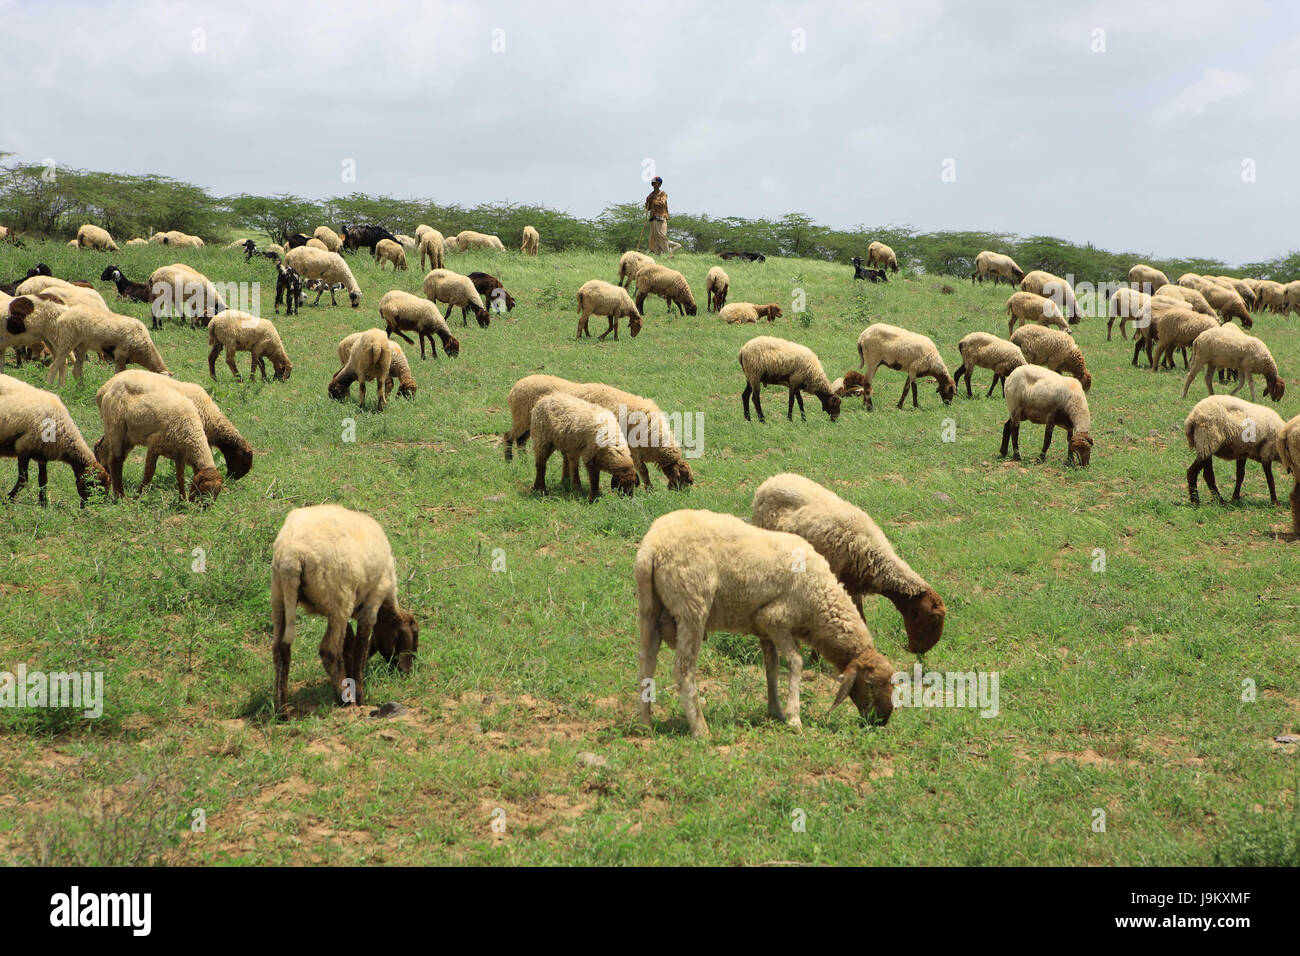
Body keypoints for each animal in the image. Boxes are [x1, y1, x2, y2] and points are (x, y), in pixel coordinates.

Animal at [0, 374, 107, 507]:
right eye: (94, 486)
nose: (88, 509)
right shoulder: (23, 448)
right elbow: (23, 480)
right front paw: (7, 499)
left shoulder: (42, 455)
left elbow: (43, 480)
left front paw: (43, 503)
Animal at [94, 373, 222, 501]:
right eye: (204, 492)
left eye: (215, 494)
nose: (204, 506)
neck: (190, 431)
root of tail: (106, 389)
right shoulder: (154, 445)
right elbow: (149, 473)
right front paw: (138, 496)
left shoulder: (179, 453)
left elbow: (180, 476)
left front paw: (182, 499)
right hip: (116, 428)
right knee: (116, 461)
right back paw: (120, 496)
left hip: (127, 436)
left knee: (103, 450)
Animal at [270, 505, 419, 715]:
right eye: (414, 635)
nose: (406, 671)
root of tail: (292, 557)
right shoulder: (373, 599)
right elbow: (360, 649)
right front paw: (360, 696)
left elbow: (349, 644)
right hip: (340, 598)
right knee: (329, 651)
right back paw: (346, 700)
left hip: (280, 598)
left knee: (280, 651)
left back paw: (282, 710)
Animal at [634, 509, 896, 736]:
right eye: (870, 684)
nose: (882, 721)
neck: (820, 602)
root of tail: (651, 548)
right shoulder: (774, 618)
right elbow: (795, 661)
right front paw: (793, 717)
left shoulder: (763, 628)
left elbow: (771, 666)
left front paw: (775, 711)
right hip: (692, 606)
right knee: (683, 669)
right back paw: (700, 729)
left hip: (650, 610)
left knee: (646, 664)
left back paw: (645, 724)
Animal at [751, 473, 945, 653]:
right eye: (930, 622)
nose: (919, 651)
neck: (875, 554)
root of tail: (770, 480)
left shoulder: (853, 587)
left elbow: (861, 620)